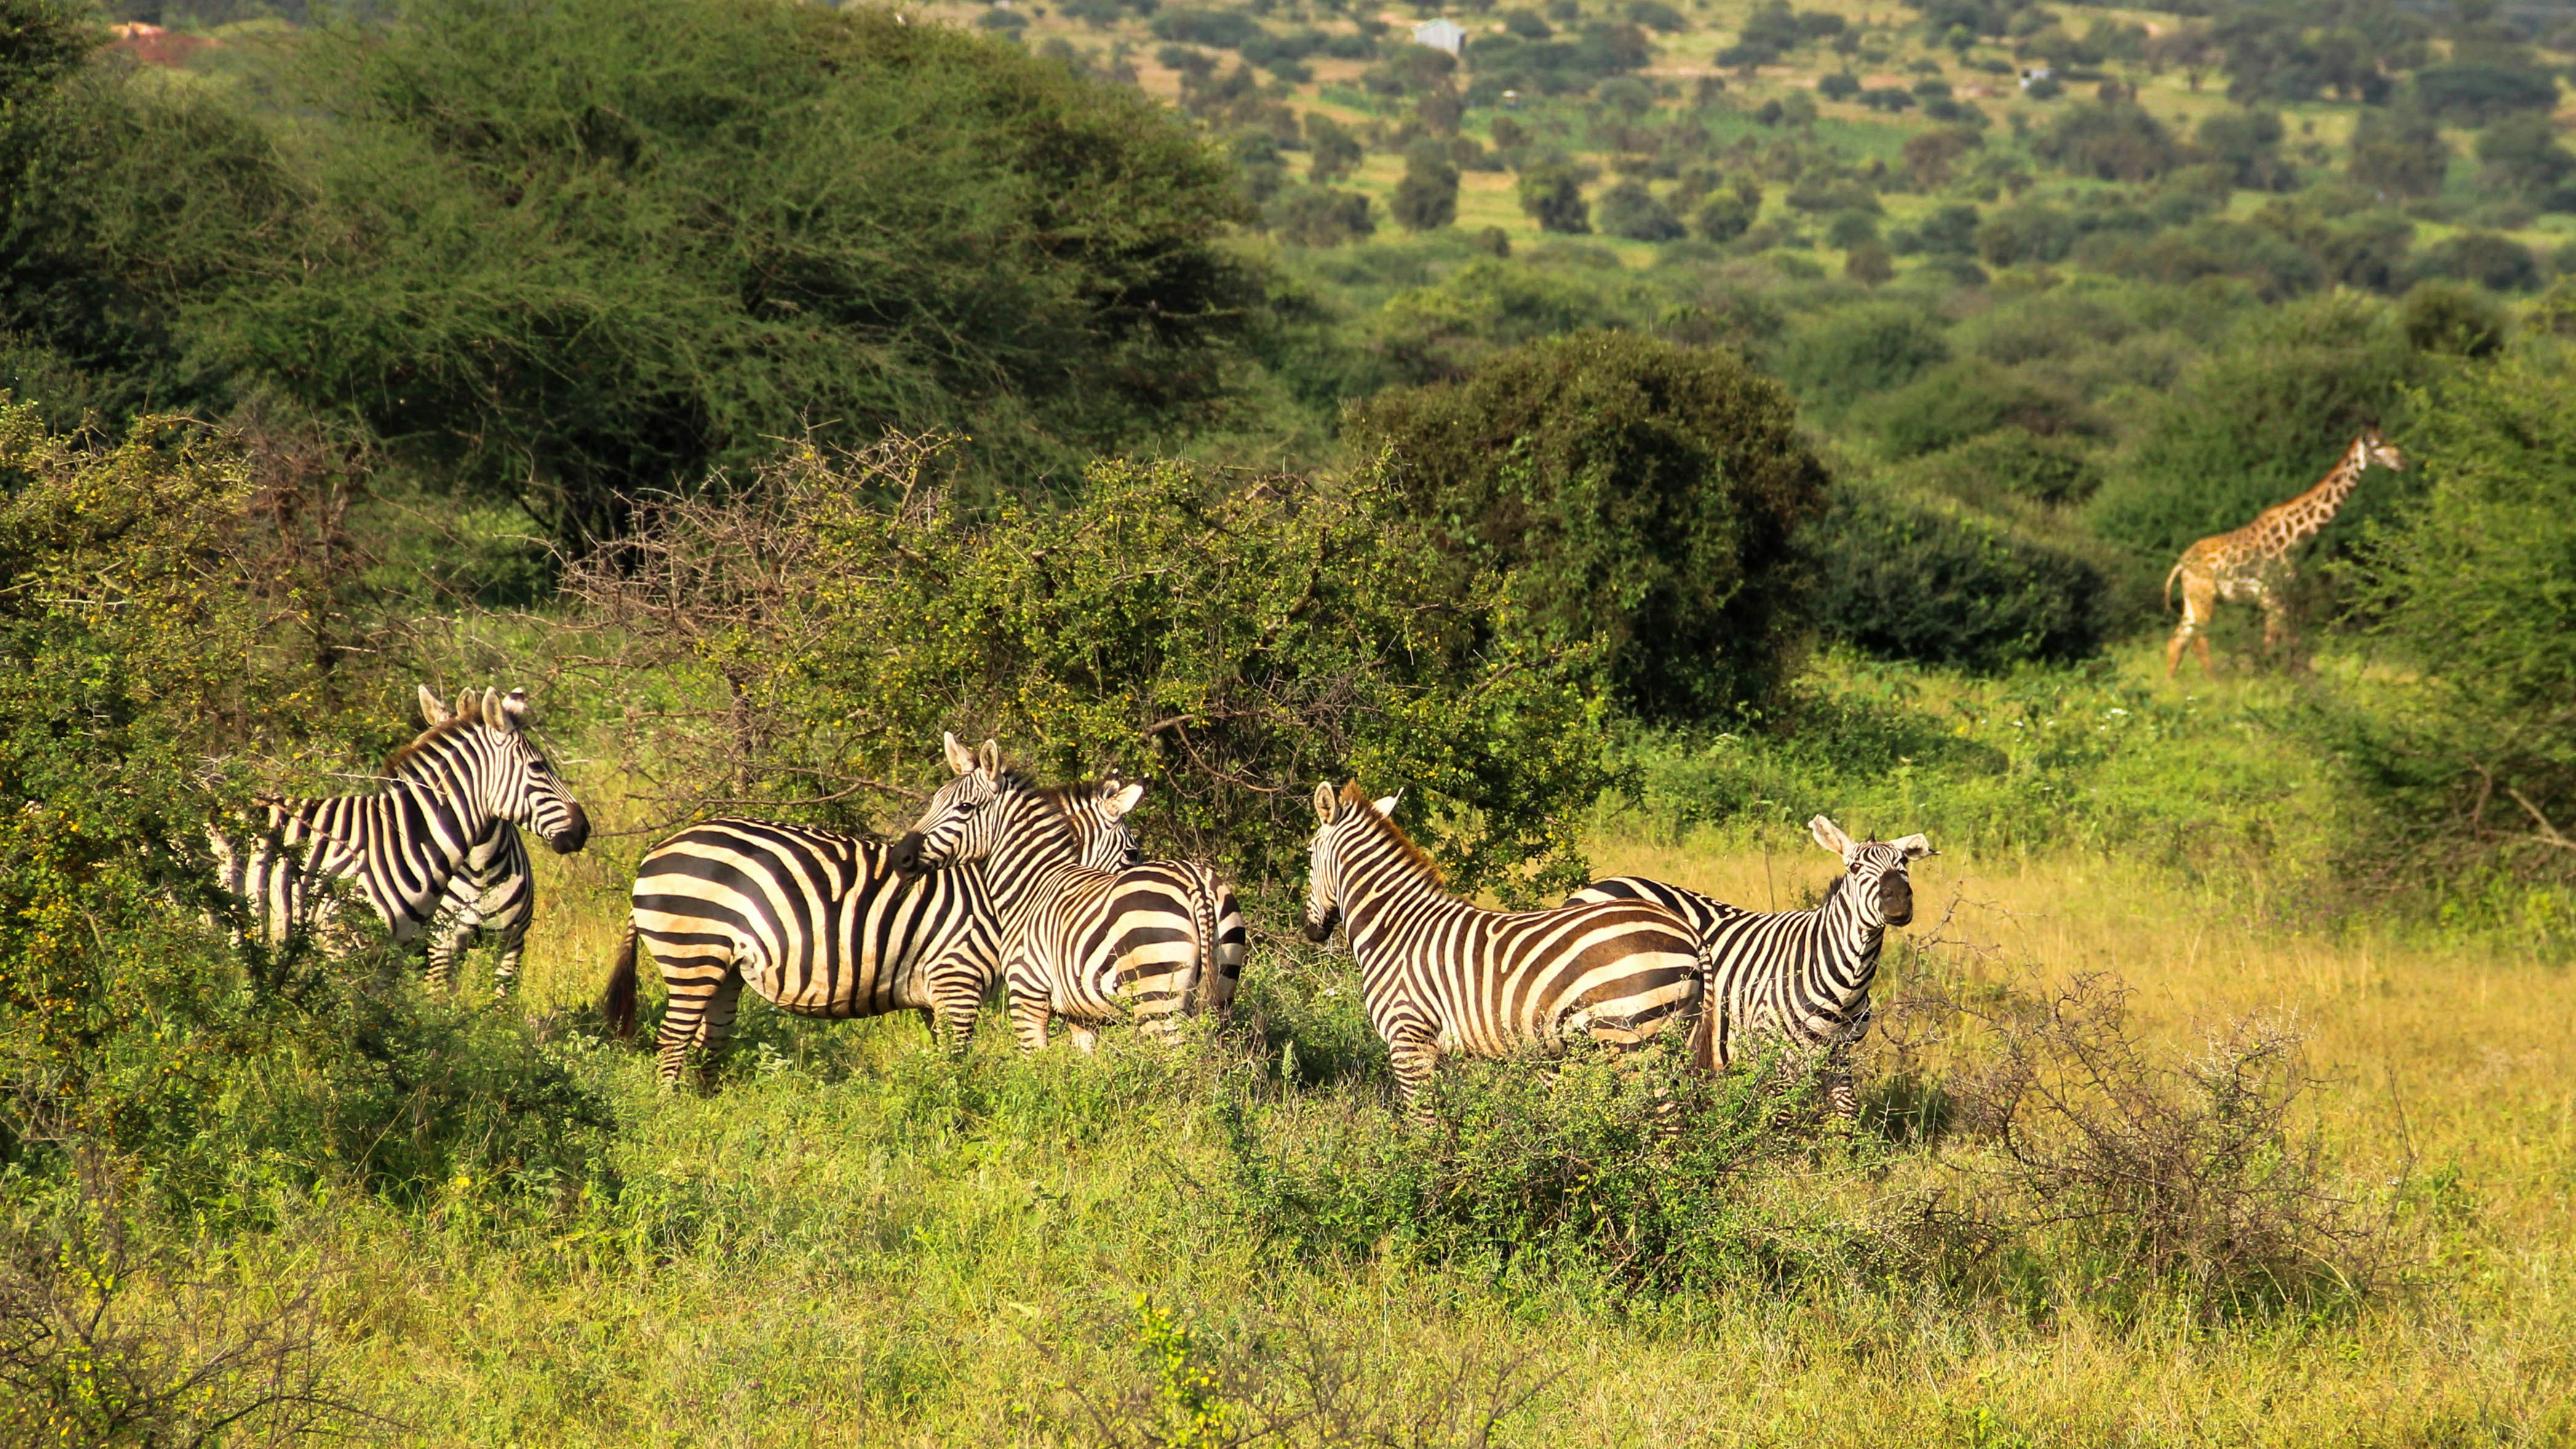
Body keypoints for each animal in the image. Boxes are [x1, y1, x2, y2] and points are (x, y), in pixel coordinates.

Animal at [603, 753, 1145, 1084]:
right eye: (1133, 854)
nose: (903, 857)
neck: (998, 894)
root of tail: (655, 851)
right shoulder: (958, 981)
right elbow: (957, 1063)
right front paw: (959, 1120)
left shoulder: (937, 995)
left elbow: (943, 1059)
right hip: (691, 951)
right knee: (673, 1040)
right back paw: (673, 1113)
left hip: (725, 968)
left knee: (709, 1040)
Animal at [888, 734, 1248, 1054]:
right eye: (936, 801)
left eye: (965, 807)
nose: (899, 857)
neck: (1031, 885)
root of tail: (1196, 882)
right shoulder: (1079, 1015)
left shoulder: (1025, 993)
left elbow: (1035, 1069)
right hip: (1222, 993)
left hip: (1157, 995)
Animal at [1299, 780, 1705, 1105]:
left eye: (1308, 855)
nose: (1310, 931)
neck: (1396, 927)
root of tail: (1688, 933)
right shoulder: (1443, 1052)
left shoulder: (1408, 1039)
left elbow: (1423, 1122)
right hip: (1672, 1036)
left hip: (1632, 1039)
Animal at [1568, 815, 1933, 1118]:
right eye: (1855, 867)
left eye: (1903, 864)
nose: (1899, 899)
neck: (1845, 981)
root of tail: (1596, 886)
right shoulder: (1778, 1058)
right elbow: (1782, 1125)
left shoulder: (1839, 1055)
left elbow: (1847, 1119)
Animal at [2163, 428, 2407, 679]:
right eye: (2377, 446)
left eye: (2387, 439)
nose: (2403, 462)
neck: (2297, 535)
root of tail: (2181, 563)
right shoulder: (2273, 595)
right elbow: (2276, 644)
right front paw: (2272, 680)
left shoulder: (2283, 595)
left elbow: (2288, 642)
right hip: (2204, 596)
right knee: (2199, 640)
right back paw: (2216, 683)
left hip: (2192, 599)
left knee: (2177, 641)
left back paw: (2170, 685)